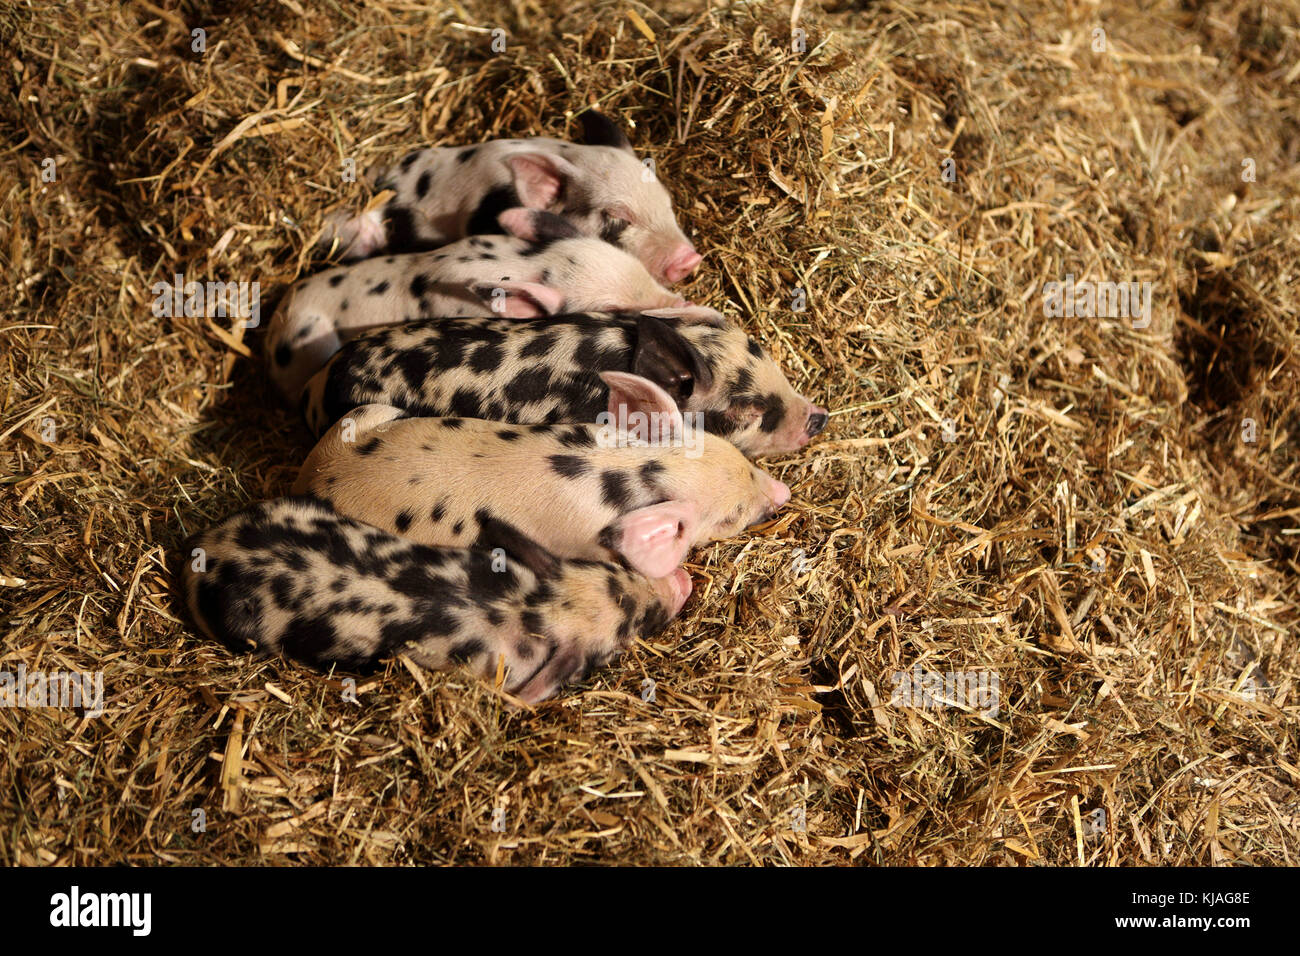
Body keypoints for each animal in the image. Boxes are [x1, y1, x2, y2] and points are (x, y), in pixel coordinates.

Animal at [291, 374, 792, 579]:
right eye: (729, 517)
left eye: (736, 454)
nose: (783, 492)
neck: (620, 473)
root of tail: (315, 476)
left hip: (368, 415)